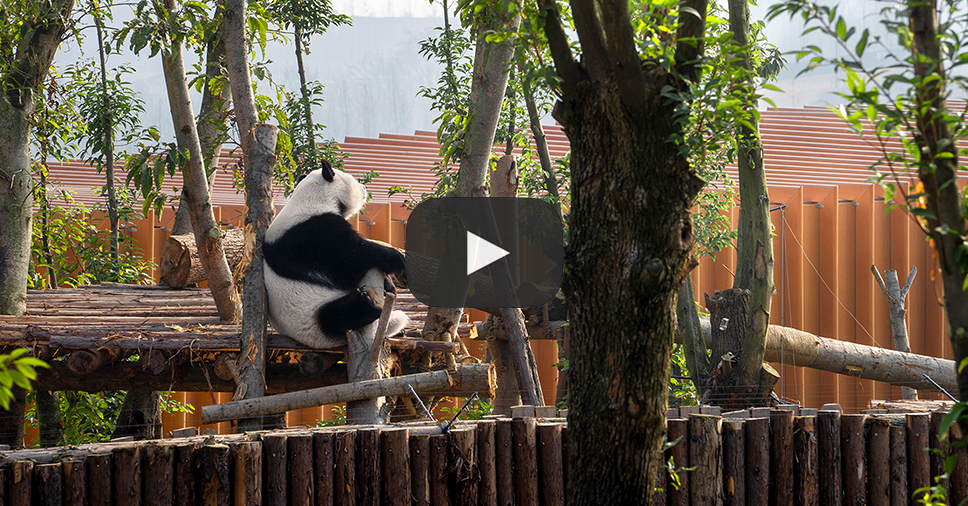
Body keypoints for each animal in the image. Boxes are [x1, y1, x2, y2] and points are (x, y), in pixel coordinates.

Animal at [263, 161, 409, 349]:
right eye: (355, 181)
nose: (364, 189)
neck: (312, 198)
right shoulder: (314, 235)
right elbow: (352, 261)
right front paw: (398, 262)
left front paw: (389, 284)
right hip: (313, 314)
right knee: (336, 316)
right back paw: (369, 304)